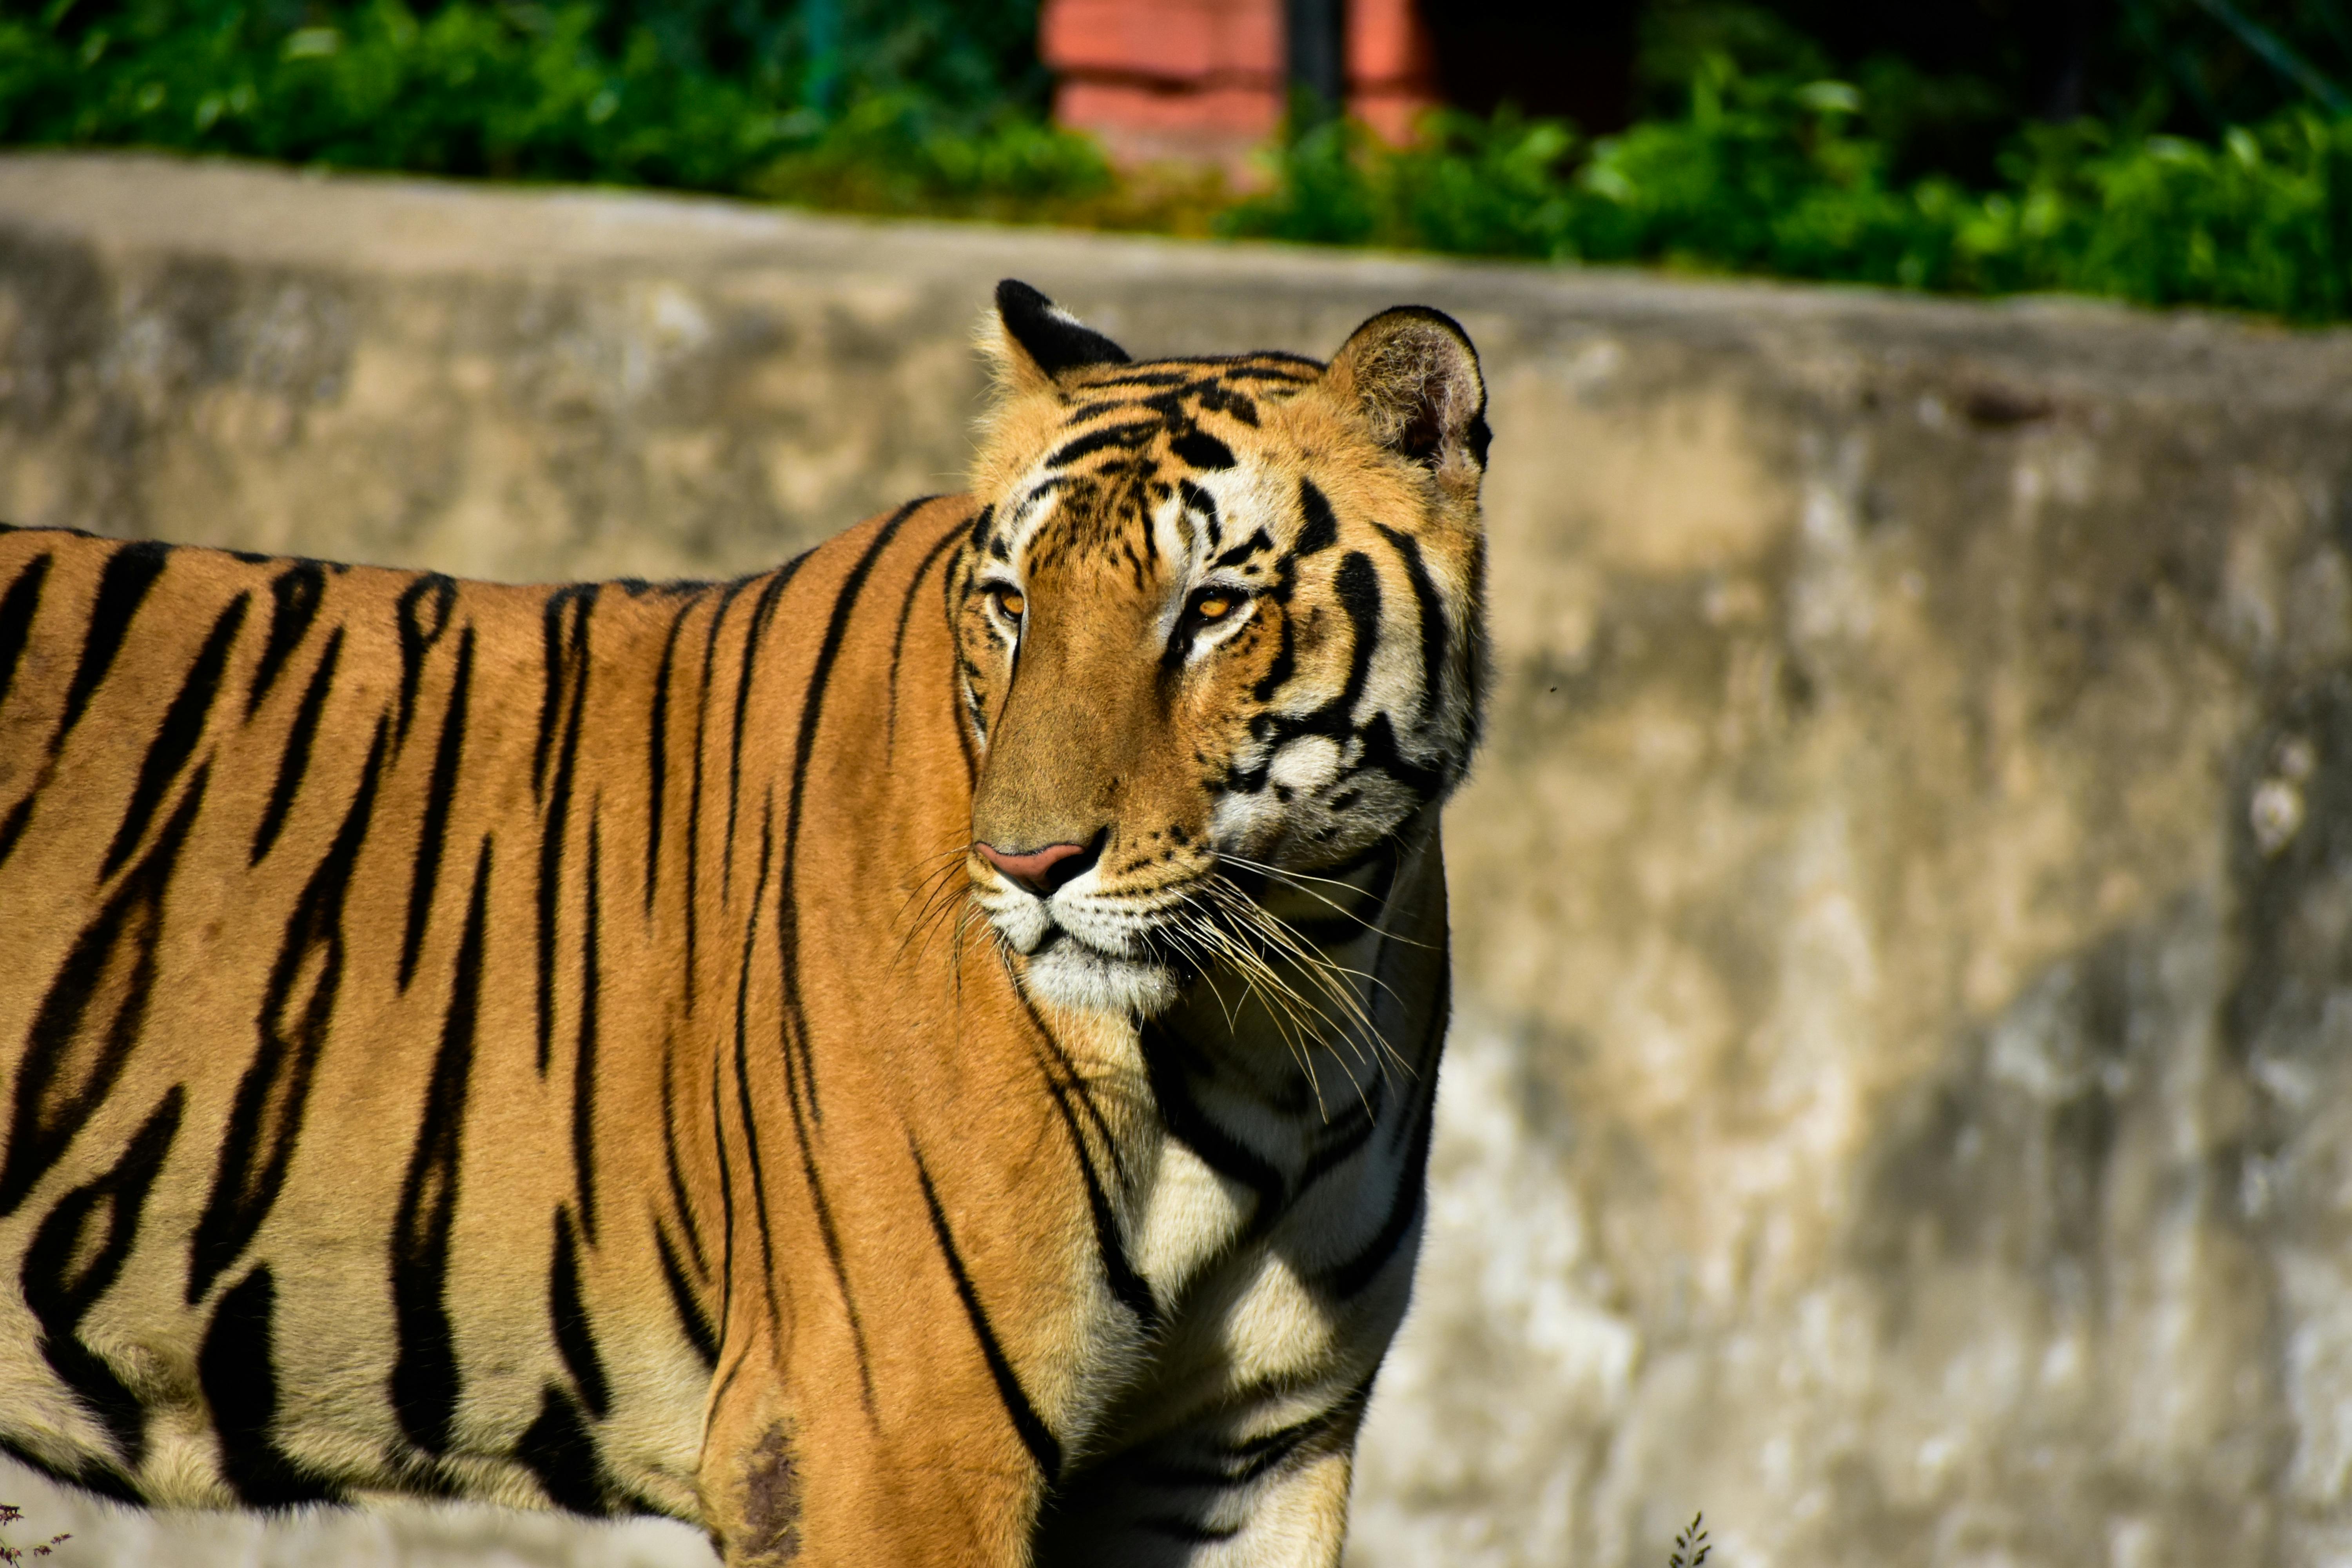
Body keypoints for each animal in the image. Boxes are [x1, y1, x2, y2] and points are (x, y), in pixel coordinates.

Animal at [0, 279, 1489, 1566]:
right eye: (1012, 605)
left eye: (1212, 609)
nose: (1026, 863)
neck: (1276, 1007)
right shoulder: (891, 1447)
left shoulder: (1246, 1453)